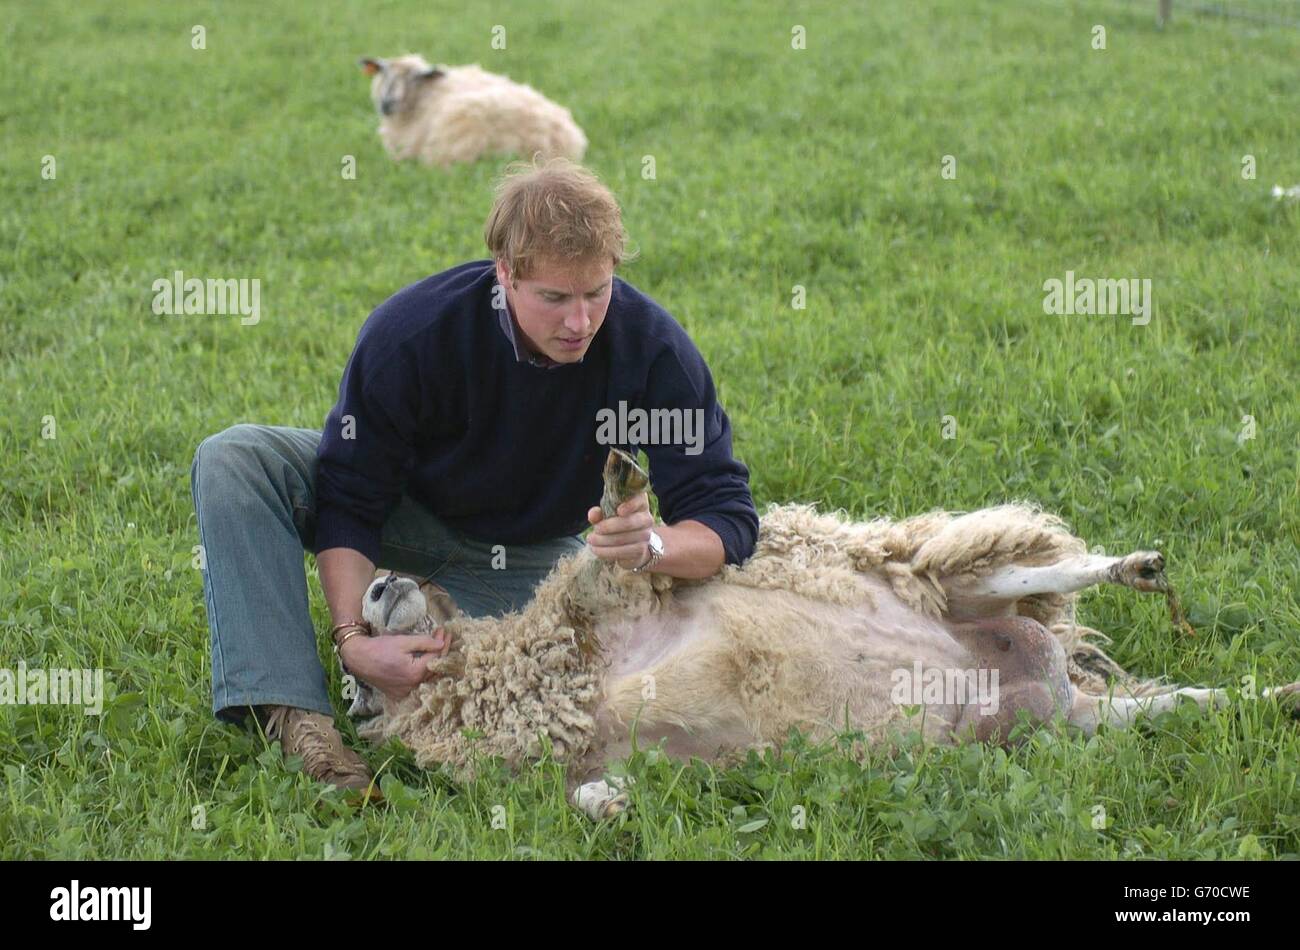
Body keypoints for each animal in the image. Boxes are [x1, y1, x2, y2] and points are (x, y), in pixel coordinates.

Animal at [356, 450, 1300, 820]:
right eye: (359, 667)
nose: (376, 582)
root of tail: (1054, 673)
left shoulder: (614, 590)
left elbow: (611, 538)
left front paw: (624, 481)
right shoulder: (590, 762)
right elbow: (585, 798)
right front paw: (617, 809)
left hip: (945, 580)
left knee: (1049, 574)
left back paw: (1135, 568)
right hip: (1068, 727)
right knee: (1188, 702)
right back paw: (1278, 693)